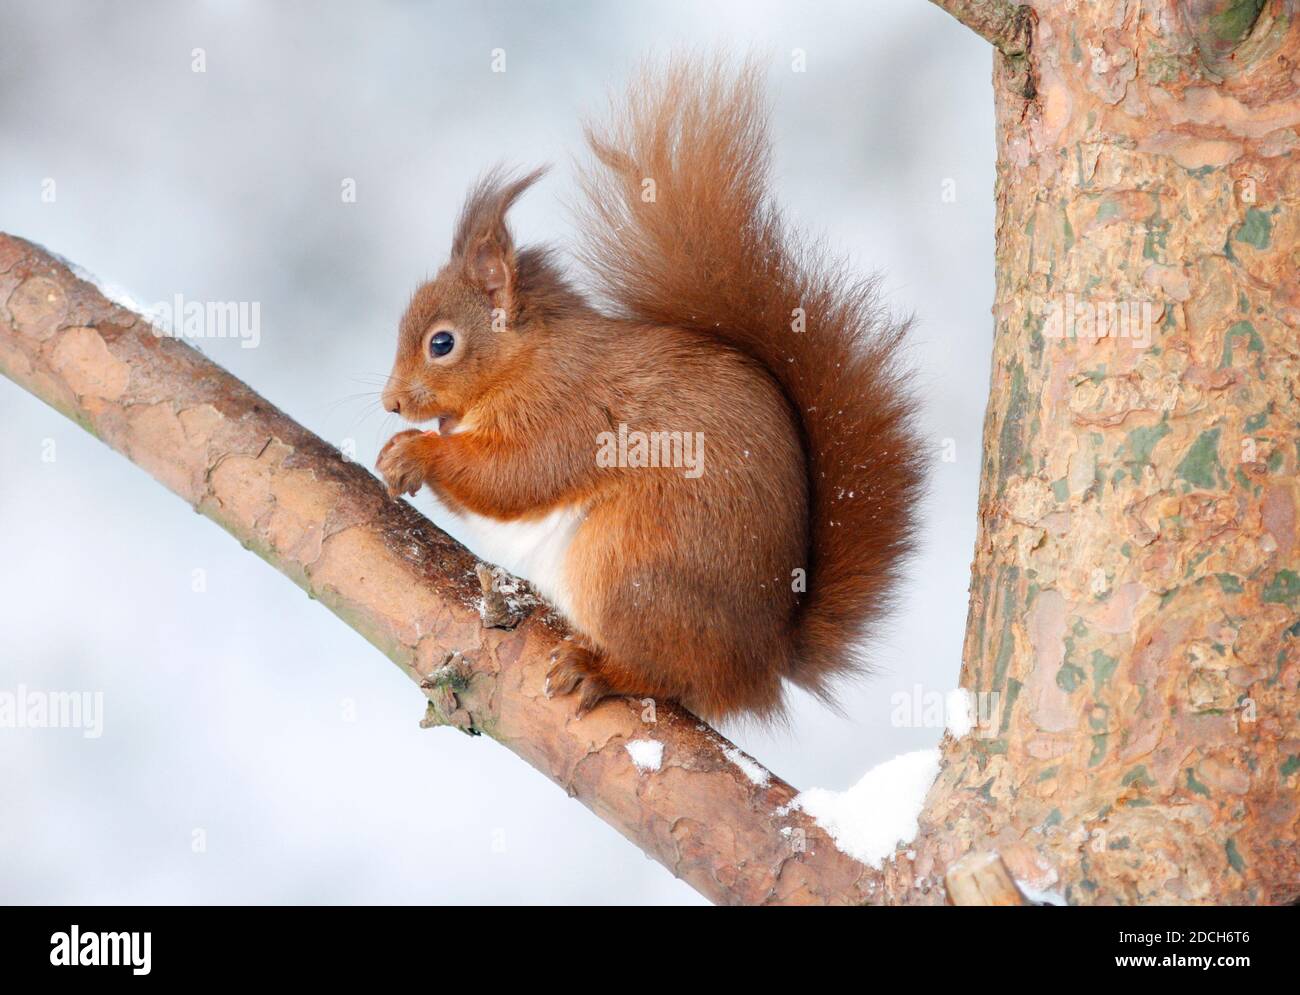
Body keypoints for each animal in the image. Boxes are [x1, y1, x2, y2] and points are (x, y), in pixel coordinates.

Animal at [377, 58, 924, 722]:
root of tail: (761, 667)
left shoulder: (571, 408)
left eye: (442, 343)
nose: (391, 403)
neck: (526, 360)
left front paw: (417, 451)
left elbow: (517, 476)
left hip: (627, 568)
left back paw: (601, 669)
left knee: (671, 676)